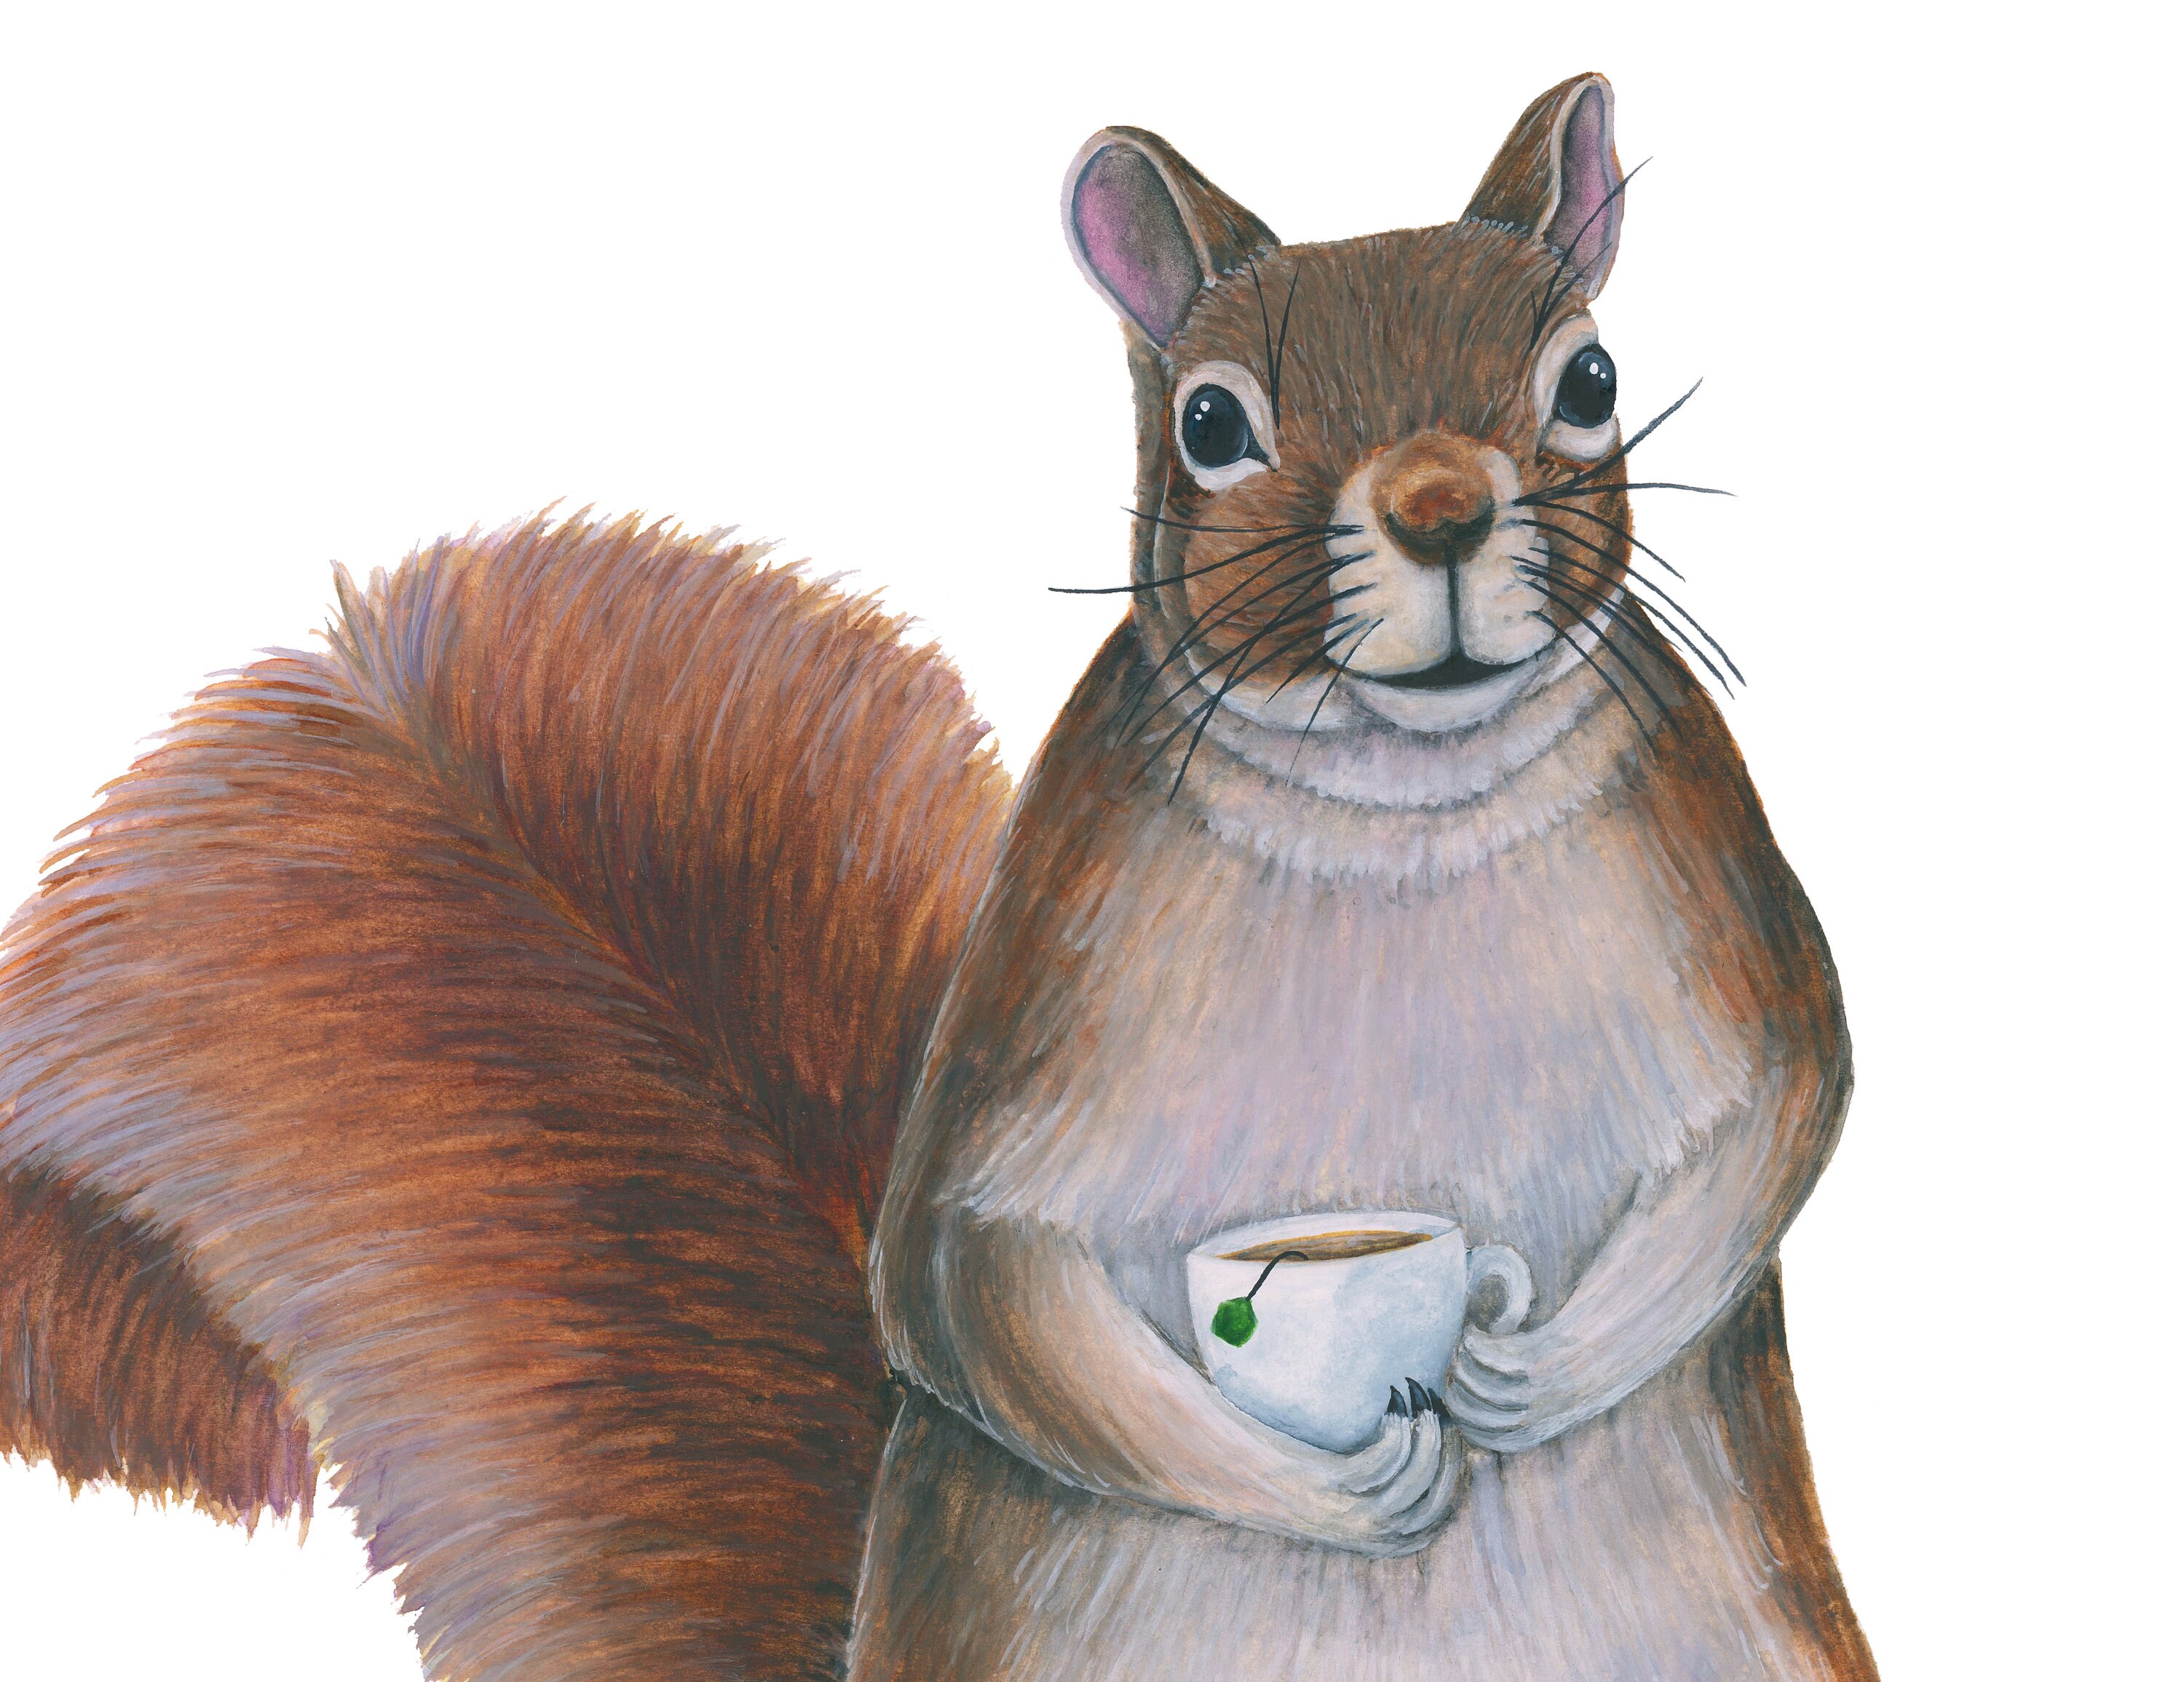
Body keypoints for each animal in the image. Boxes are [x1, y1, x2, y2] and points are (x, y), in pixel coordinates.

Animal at [0, 73, 1875, 1682]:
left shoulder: (1715, 870)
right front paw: (1333, 1484)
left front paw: (1533, 1368)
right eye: (1210, 420)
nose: (1436, 507)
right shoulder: (1048, 975)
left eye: (1588, 381)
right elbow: (963, 1277)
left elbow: (1785, 1103)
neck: (1398, 789)